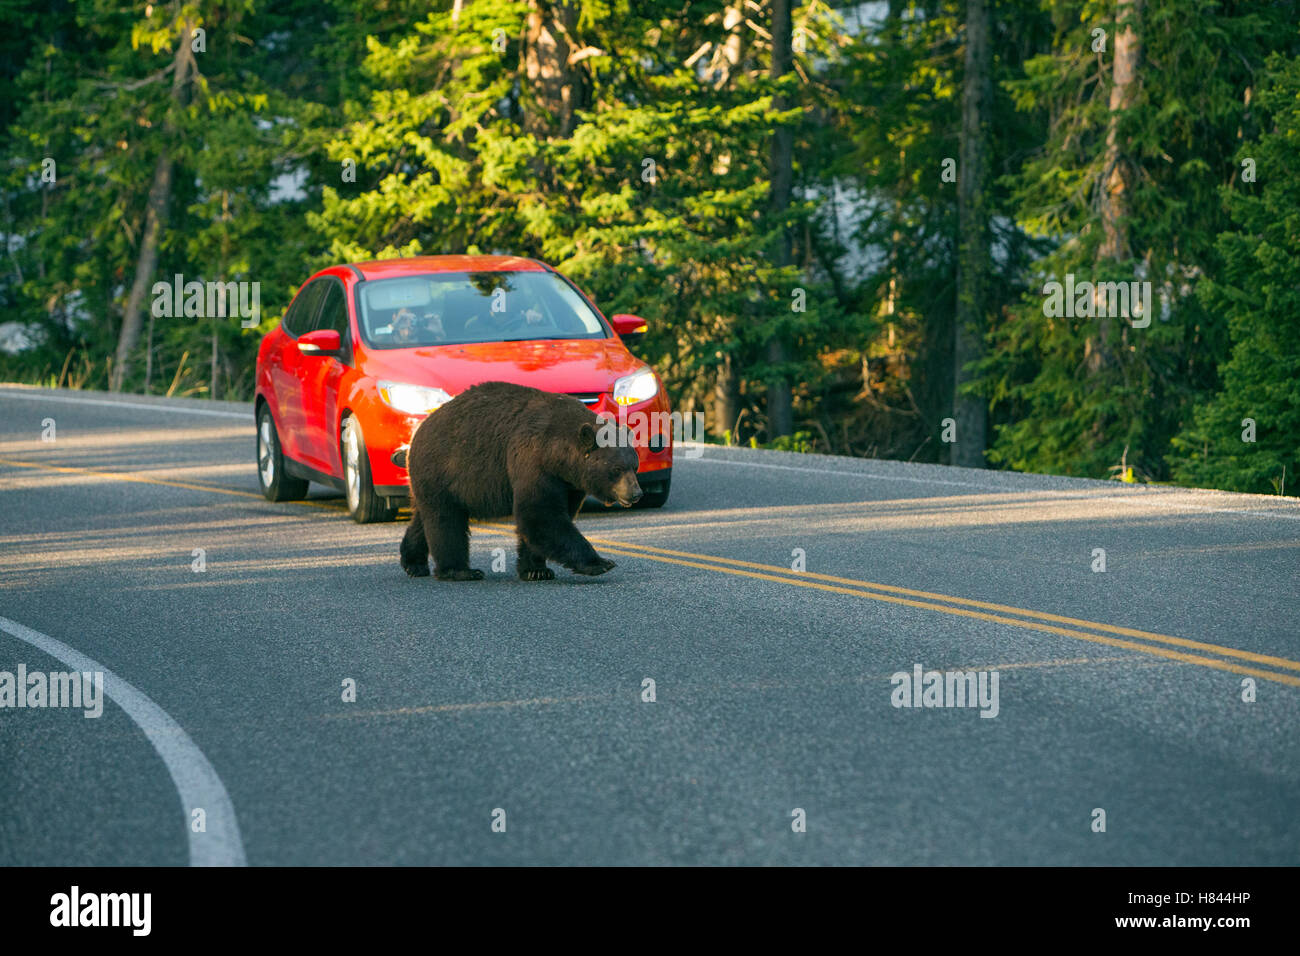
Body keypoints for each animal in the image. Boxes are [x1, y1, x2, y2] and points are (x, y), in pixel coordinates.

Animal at [397, 381, 643, 581]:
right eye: (617, 469)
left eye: (635, 465)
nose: (636, 493)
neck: (558, 454)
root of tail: (419, 431)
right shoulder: (532, 462)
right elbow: (539, 514)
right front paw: (599, 562)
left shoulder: (569, 483)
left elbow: (549, 517)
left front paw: (536, 570)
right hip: (443, 468)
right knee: (446, 520)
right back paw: (460, 570)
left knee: (424, 517)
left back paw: (413, 563)